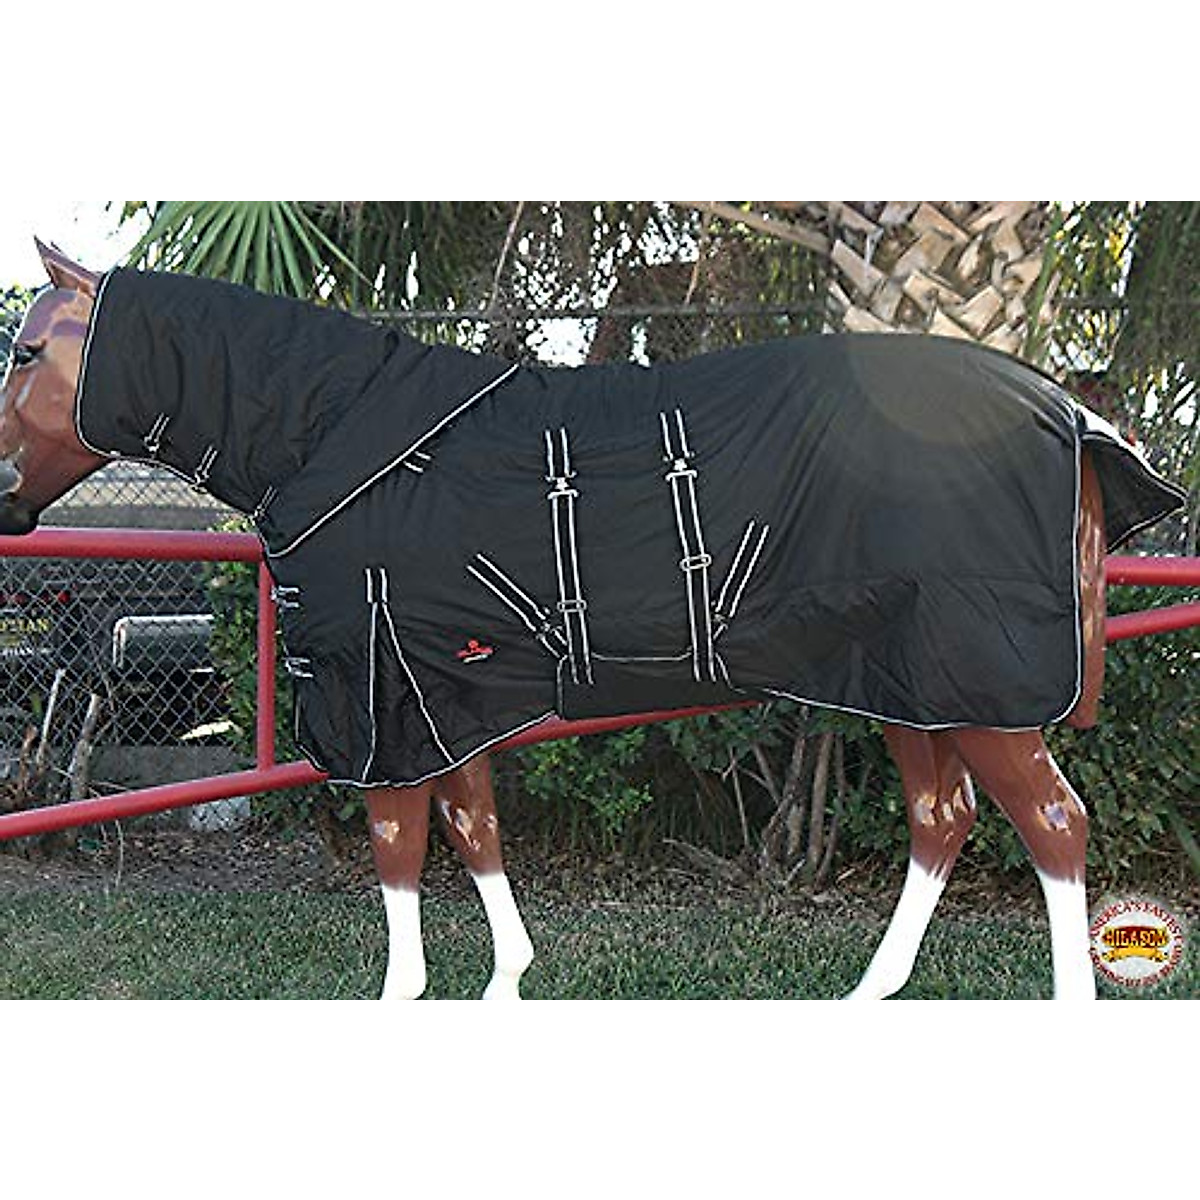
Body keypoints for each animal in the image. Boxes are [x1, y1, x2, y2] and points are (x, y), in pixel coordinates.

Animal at [0, 239, 1176, 1001]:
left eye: (25, 352)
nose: (6, 498)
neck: (329, 428)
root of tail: (1069, 414)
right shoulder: (447, 693)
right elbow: (472, 829)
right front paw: (506, 983)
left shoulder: (384, 695)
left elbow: (398, 846)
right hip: (911, 684)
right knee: (944, 820)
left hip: (974, 684)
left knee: (1054, 826)